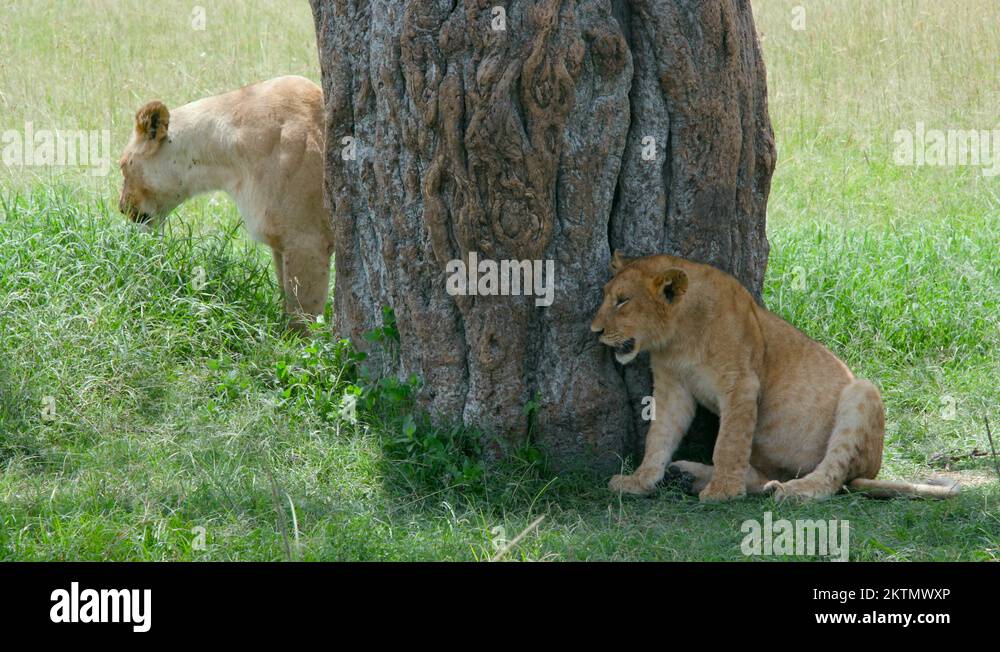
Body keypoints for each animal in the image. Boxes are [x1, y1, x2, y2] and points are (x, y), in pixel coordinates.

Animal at [118, 75, 333, 332]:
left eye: (122, 166)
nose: (122, 208)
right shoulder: (281, 243)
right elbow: (285, 298)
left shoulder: (307, 241)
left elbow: (302, 317)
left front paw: (295, 342)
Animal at [591, 251, 958, 502]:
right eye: (606, 295)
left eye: (623, 301)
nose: (595, 330)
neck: (679, 337)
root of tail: (873, 469)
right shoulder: (672, 387)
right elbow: (659, 437)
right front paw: (640, 481)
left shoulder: (741, 384)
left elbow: (729, 442)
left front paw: (724, 491)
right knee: (763, 475)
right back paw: (687, 474)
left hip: (862, 392)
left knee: (834, 476)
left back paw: (794, 490)